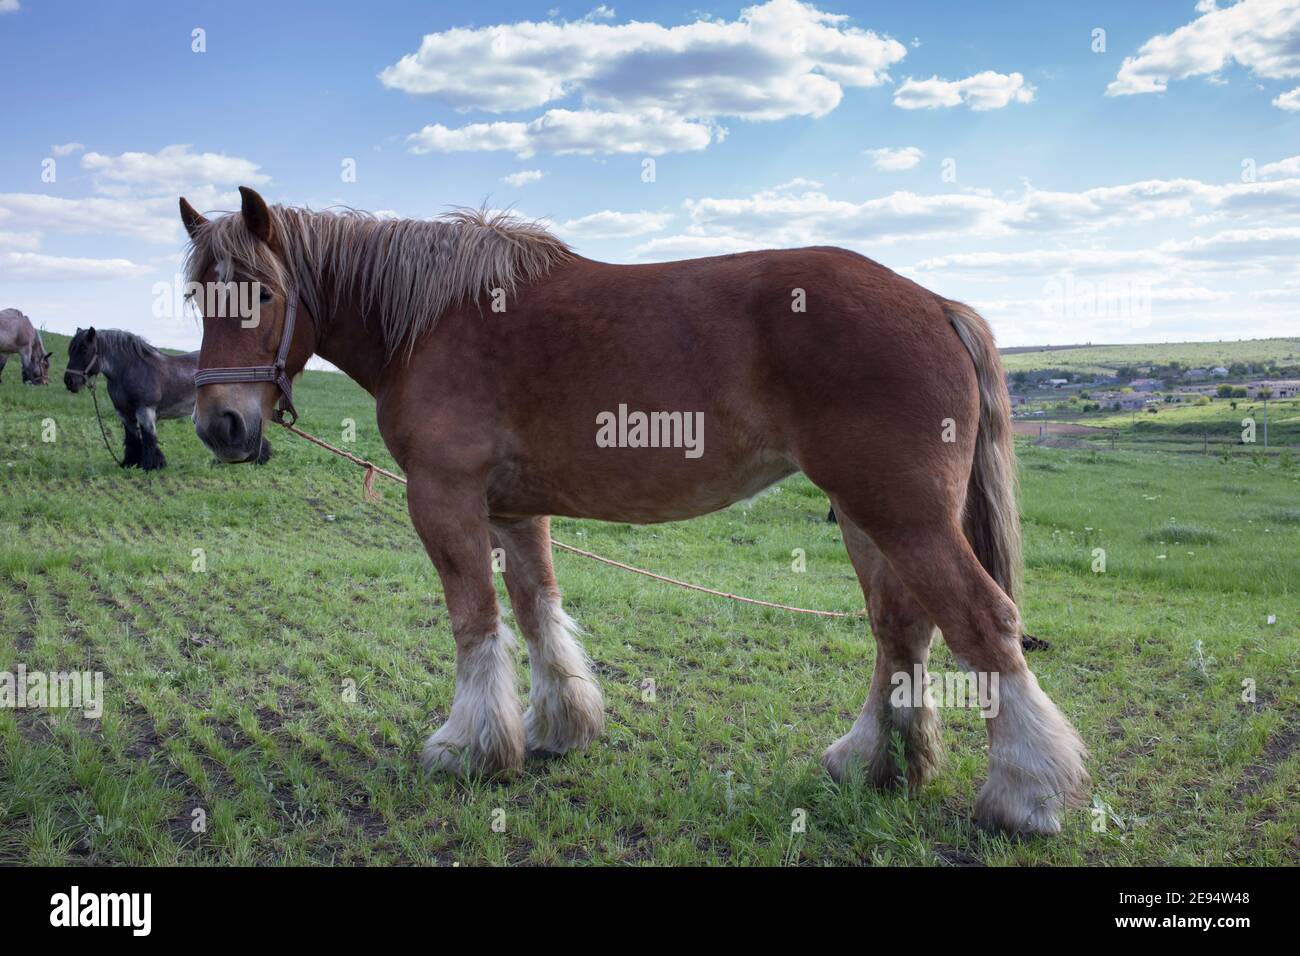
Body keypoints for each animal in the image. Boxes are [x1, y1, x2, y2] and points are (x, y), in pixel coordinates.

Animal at [64, 326, 269, 470]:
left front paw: (153, 465)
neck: (130, 370)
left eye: (84, 349)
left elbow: (148, 438)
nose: (69, 381)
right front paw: (130, 463)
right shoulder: (124, 414)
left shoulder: (145, 411)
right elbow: (132, 438)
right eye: (71, 350)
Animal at [179, 186, 1089, 835]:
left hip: (902, 514)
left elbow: (476, 624)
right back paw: (874, 764)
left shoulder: (444, 500)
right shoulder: (514, 511)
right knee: (901, 631)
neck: (431, 321)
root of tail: (935, 303)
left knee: (983, 624)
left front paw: (470, 747)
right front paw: (559, 727)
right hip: (868, 516)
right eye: (197, 301)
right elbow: (537, 613)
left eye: (261, 294)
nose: (221, 425)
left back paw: (1024, 798)